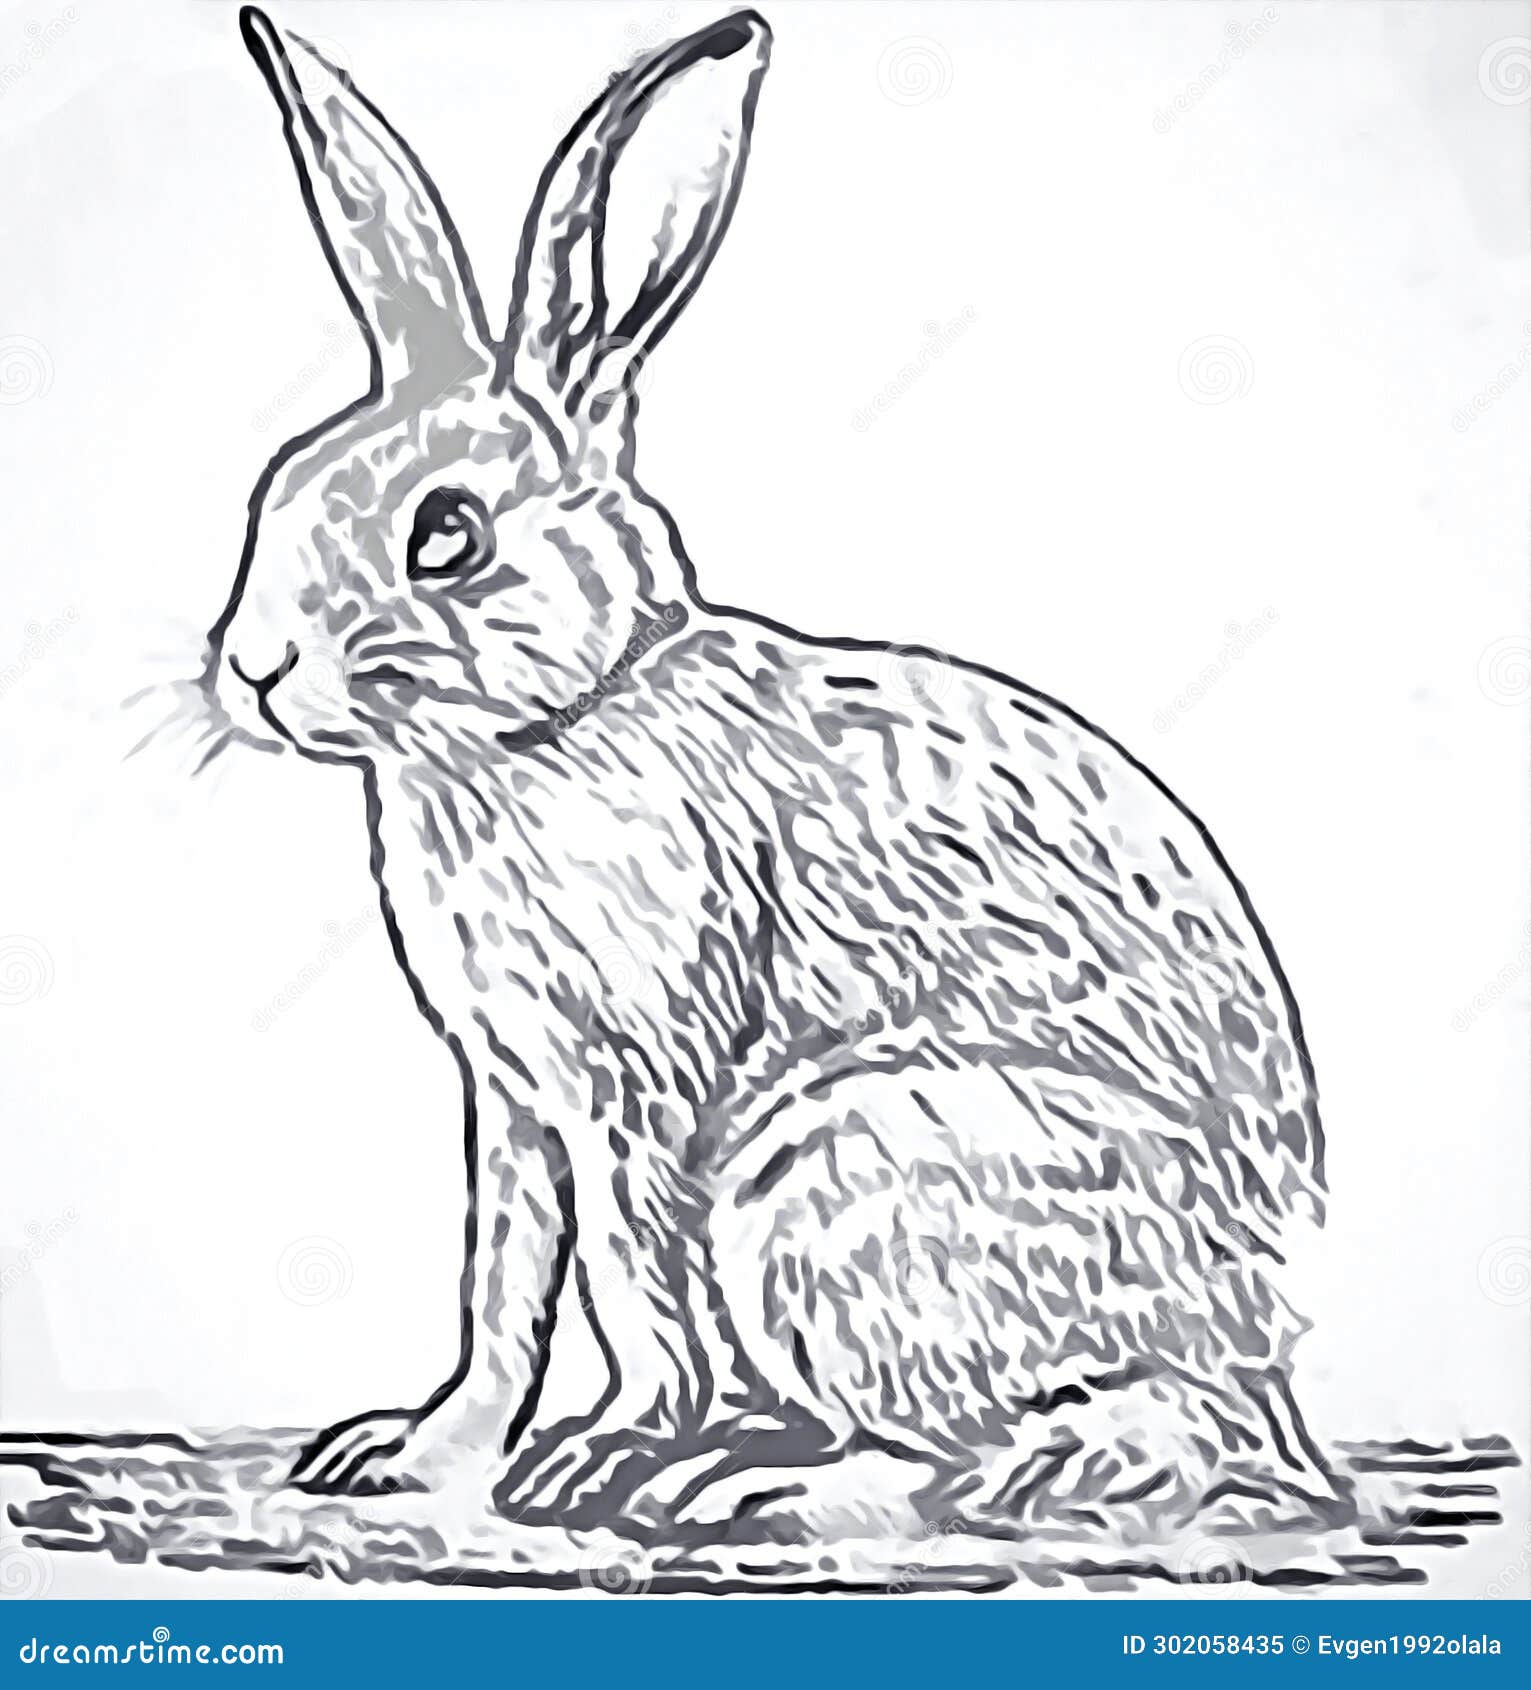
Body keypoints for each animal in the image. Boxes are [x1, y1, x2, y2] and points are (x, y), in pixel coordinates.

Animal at [206, 6, 1349, 1549]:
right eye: (276, 491)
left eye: (446, 533)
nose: (251, 667)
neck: (551, 719)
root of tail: (1264, 1358)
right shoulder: (512, 1097)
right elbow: (505, 1289)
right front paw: (414, 1450)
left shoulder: (641, 1081)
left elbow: (631, 1278)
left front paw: (603, 1451)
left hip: (835, 1179)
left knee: (995, 1449)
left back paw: (753, 1479)